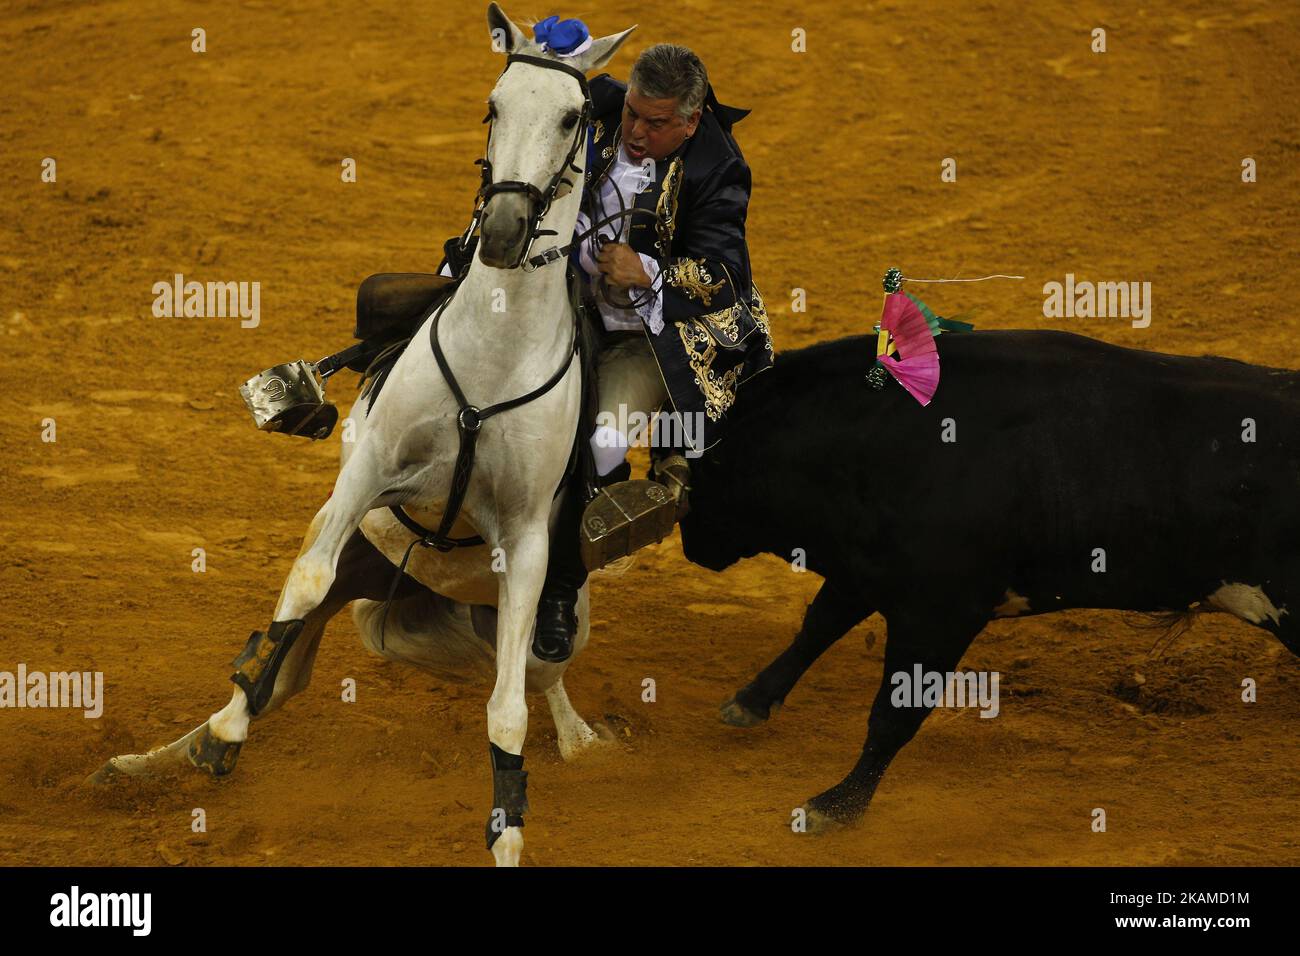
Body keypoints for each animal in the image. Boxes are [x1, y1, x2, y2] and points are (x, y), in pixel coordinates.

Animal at [89, 3, 638, 867]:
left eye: (572, 116)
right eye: (492, 106)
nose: (505, 230)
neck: (494, 355)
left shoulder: (525, 542)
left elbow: (508, 709)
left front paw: (510, 833)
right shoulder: (369, 475)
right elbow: (302, 584)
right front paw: (220, 737)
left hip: (537, 615)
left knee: (540, 681)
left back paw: (585, 742)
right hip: (369, 562)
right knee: (280, 666)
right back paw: (151, 761)